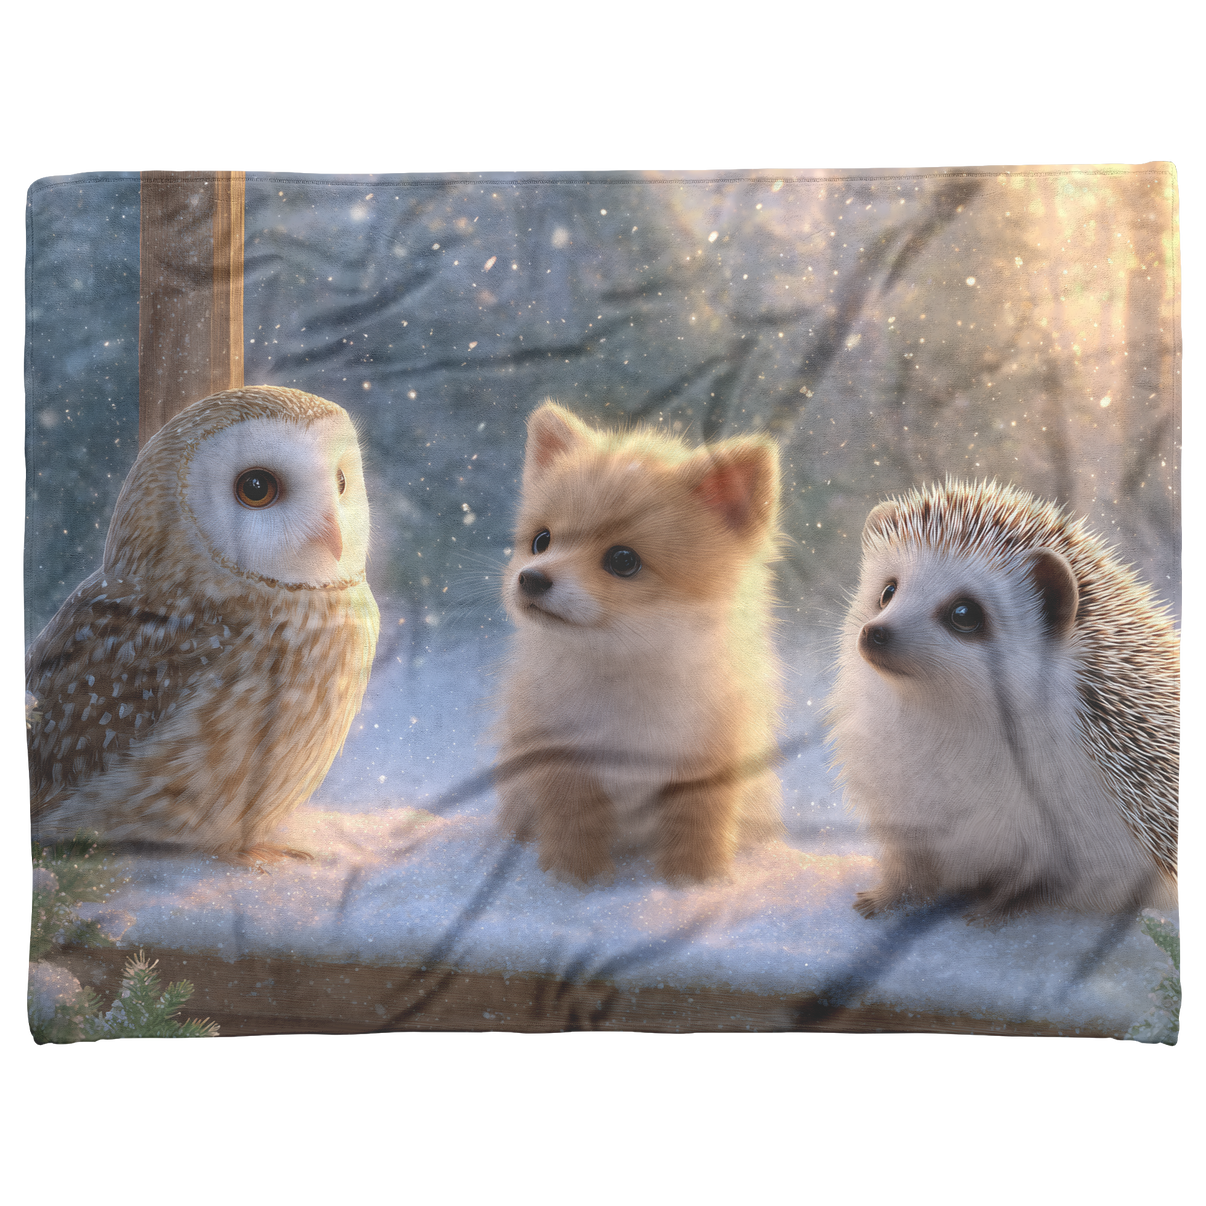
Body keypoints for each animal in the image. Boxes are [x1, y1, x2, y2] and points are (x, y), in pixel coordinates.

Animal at [495, 401, 785, 886]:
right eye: (541, 541)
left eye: (623, 560)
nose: (531, 578)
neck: (623, 672)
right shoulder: (561, 758)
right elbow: (572, 824)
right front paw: (575, 882)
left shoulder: (705, 758)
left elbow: (697, 825)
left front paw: (694, 883)